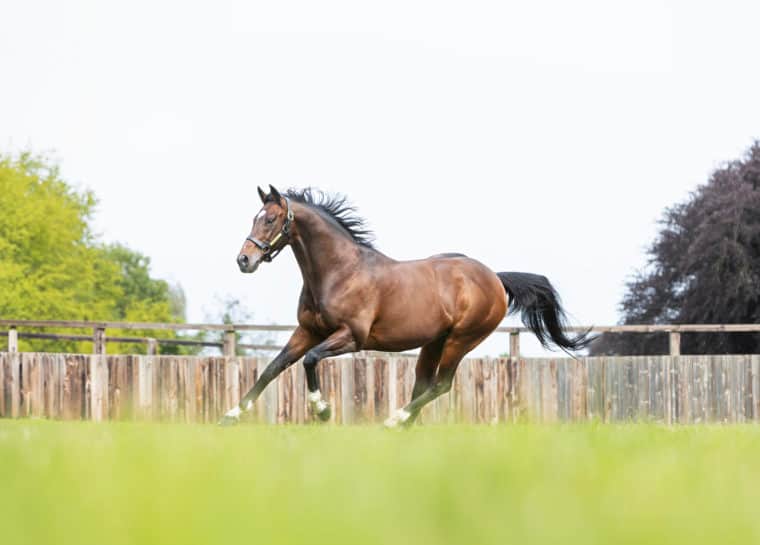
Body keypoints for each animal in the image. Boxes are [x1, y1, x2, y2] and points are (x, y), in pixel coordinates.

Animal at [220, 185, 591, 427]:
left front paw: (322, 409)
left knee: (441, 385)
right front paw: (230, 416)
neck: (340, 272)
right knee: (423, 385)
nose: (243, 260)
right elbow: (273, 368)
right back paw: (403, 428)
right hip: (434, 342)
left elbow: (309, 361)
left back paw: (394, 420)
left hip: (461, 340)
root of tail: (495, 279)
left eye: (270, 219)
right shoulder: (307, 331)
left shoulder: (350, 337)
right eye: (255, 217)